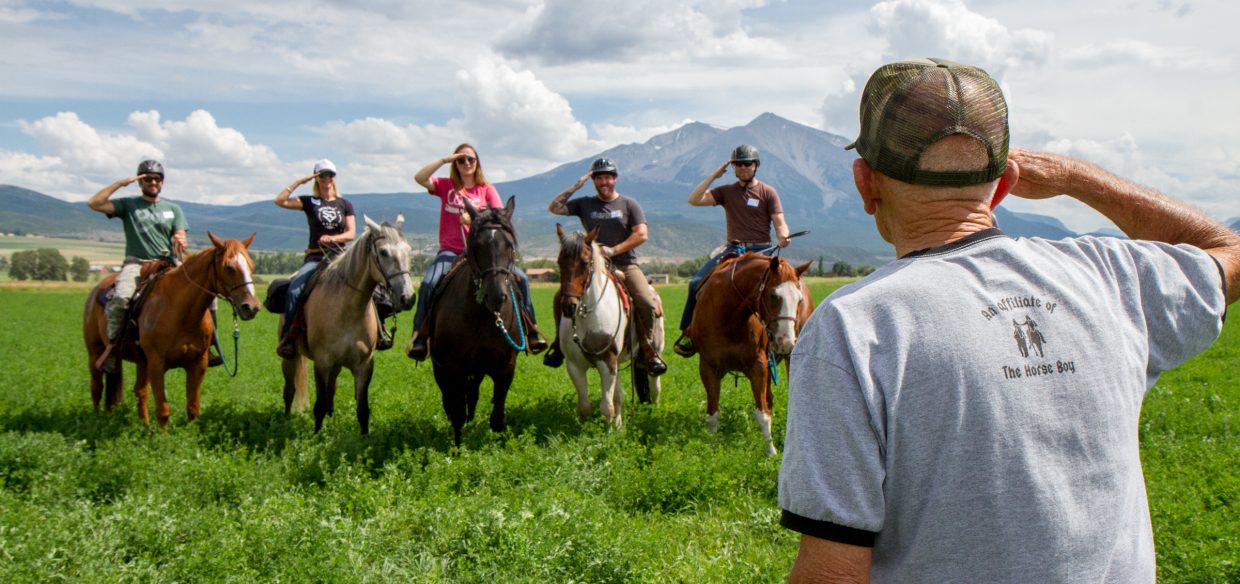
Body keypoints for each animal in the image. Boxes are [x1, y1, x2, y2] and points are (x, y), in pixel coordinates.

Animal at [83, 233, 261, 427]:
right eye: (229, 267)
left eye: (251, 265)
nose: (251, 307)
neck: (180, 311)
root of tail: (96, 290)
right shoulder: (156, 364)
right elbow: (163, 409)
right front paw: (164, 435)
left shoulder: (198, 363)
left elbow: (192, 407)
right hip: (95, 352)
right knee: (96, 388)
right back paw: (95, 421)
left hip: (141, 361)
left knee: (140, 392)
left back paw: (145, 426)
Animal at [281, 215, 415, 435]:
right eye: (384, 252)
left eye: (409, 250)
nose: (408, 298)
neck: (347, 308)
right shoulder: (322, 362)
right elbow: (318, 406)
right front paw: (316, 436)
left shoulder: (364, 365)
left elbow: (362, 409)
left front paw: (363, 437)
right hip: (290, 357)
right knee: (290, 390)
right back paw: (285, 420)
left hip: (335, 367)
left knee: (331, 391)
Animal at [428, 196, 525, 446]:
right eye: (476, 246)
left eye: (509, 245)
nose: (496, 296)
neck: (483, 317)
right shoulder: (453, 368)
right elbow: (457, 413)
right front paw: (457, 449)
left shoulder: (506, 367)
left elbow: (497, 416)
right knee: (451, 400)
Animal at [555, 224, 632, 428]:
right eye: (559, 262)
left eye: (584, 263)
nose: (569, 306)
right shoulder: (574, 365)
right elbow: (584, 406)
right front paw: (582, 430)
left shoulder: (608, 361)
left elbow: (606, 406)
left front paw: (608, 432)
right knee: (619, 395)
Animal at [683, 252, 812, 456]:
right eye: (773, 295)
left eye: (799, 300)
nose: (786, 343)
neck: (728, 317)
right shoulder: (707, 367)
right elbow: (713, 413)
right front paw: (710, 446)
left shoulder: (758, 366)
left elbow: (762, 414)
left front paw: (771, 451)